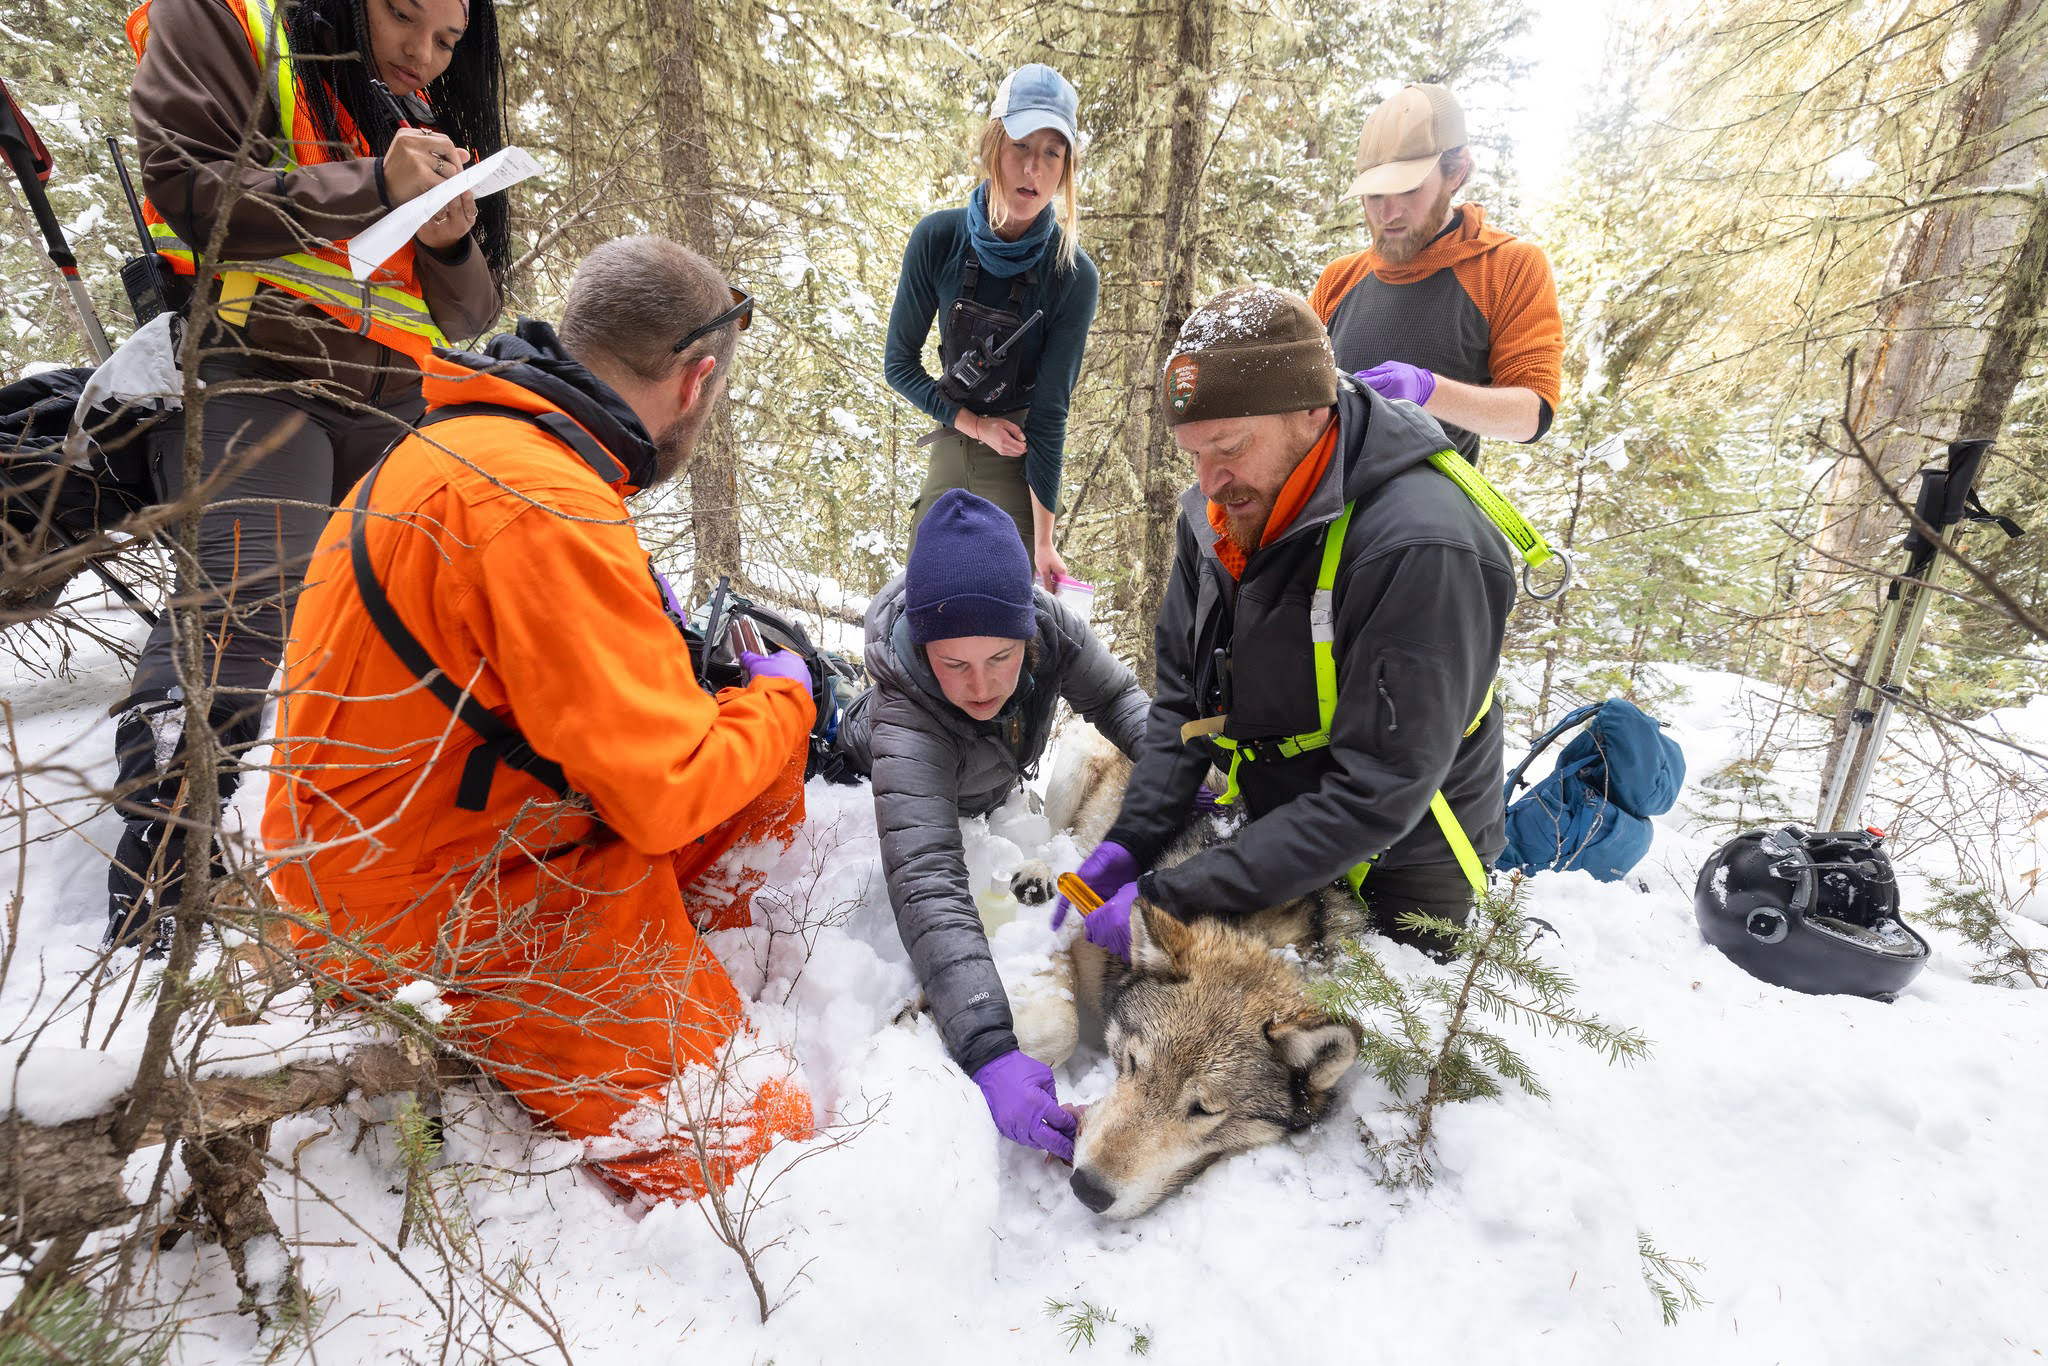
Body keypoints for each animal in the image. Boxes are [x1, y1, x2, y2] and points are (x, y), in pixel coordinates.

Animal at [1009, 730, 1364, 1219]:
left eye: (1203, 1110)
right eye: (1132, 1063)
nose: (1087, 1190)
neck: (1260, 930)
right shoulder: (1079, 926)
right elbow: (1061, 1029)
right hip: (1073, 780)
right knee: (1056, 841)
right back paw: (1039, 875)